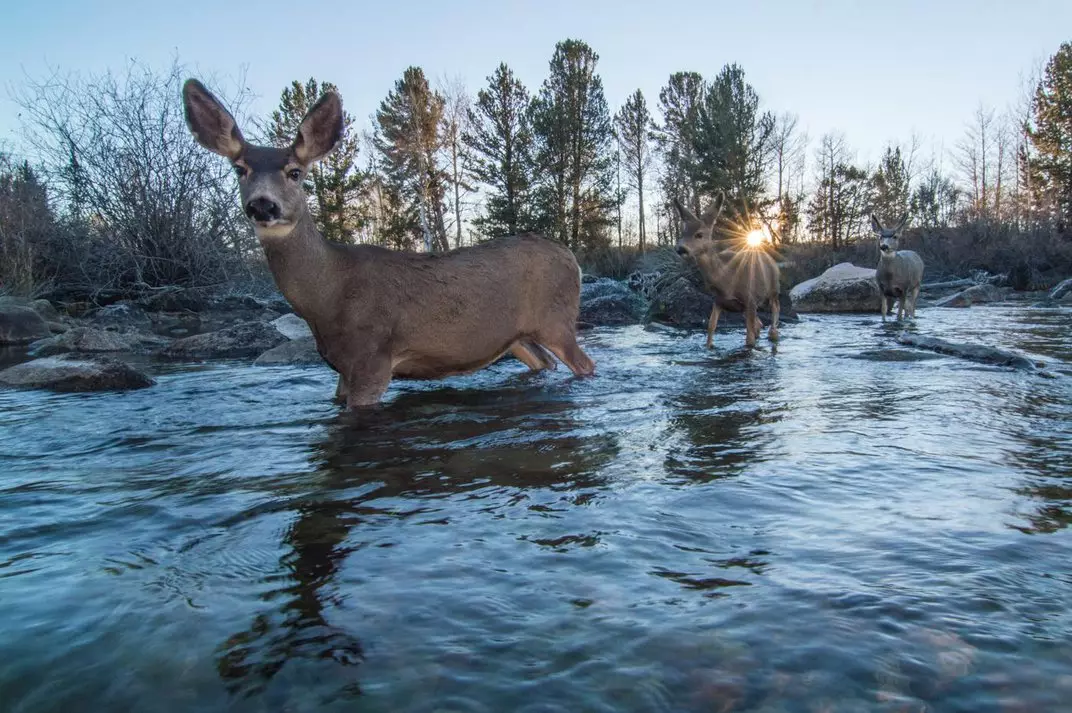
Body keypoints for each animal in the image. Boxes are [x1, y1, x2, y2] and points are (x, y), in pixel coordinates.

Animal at [180, 78, 591, 409]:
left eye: (295, 172)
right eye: (240, 169)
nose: (263, 204)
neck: (327, 295)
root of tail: (571, 256)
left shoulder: (371, 357)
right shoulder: (341, 368)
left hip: (556, 320)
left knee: (583, 365)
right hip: (514, 337)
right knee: (544, 362)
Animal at [668, 192, 780, 349]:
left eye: (699, 234)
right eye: (683, 233)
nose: (680, 248)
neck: (726, 279)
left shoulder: (750, 299)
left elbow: (749, 340)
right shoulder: (719, 301)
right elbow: (711, 326)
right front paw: (709, 346)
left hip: (774, 289)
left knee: (775, 313)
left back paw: (773, 333)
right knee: (759, 324)